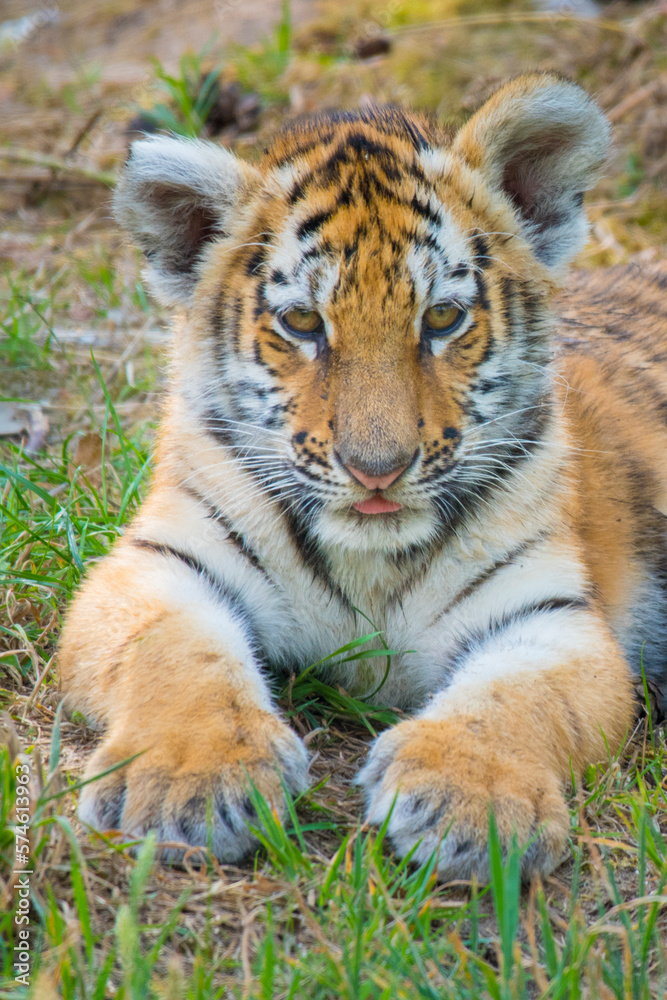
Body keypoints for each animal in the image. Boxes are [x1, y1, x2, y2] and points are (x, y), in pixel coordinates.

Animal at [59, 72, 667, 881]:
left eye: (441, 318)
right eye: (302, 324)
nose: (376, 469)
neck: (369, 564)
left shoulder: (549, 615)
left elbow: (515, 700)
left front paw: (466, 800)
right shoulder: (161, 566)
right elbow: (173, 657)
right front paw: (186, 781)